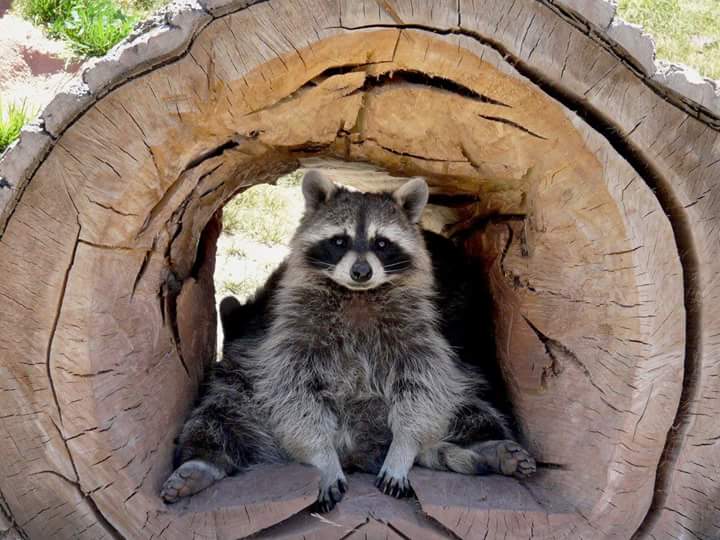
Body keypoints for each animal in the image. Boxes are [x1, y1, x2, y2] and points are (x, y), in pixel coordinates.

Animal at [161, 171, 536, 512]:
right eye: (339, 241)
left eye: (382, 243)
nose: (361, 272)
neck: (358, 296)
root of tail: (356, 452)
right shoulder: (287, 335)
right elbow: (292, 389)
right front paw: (322, 458)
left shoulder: (422, 336)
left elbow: (424, 386)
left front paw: (405, 446)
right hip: (242, 394)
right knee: (220, 410)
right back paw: (203, 462)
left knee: (469, 407)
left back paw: (488, 446)